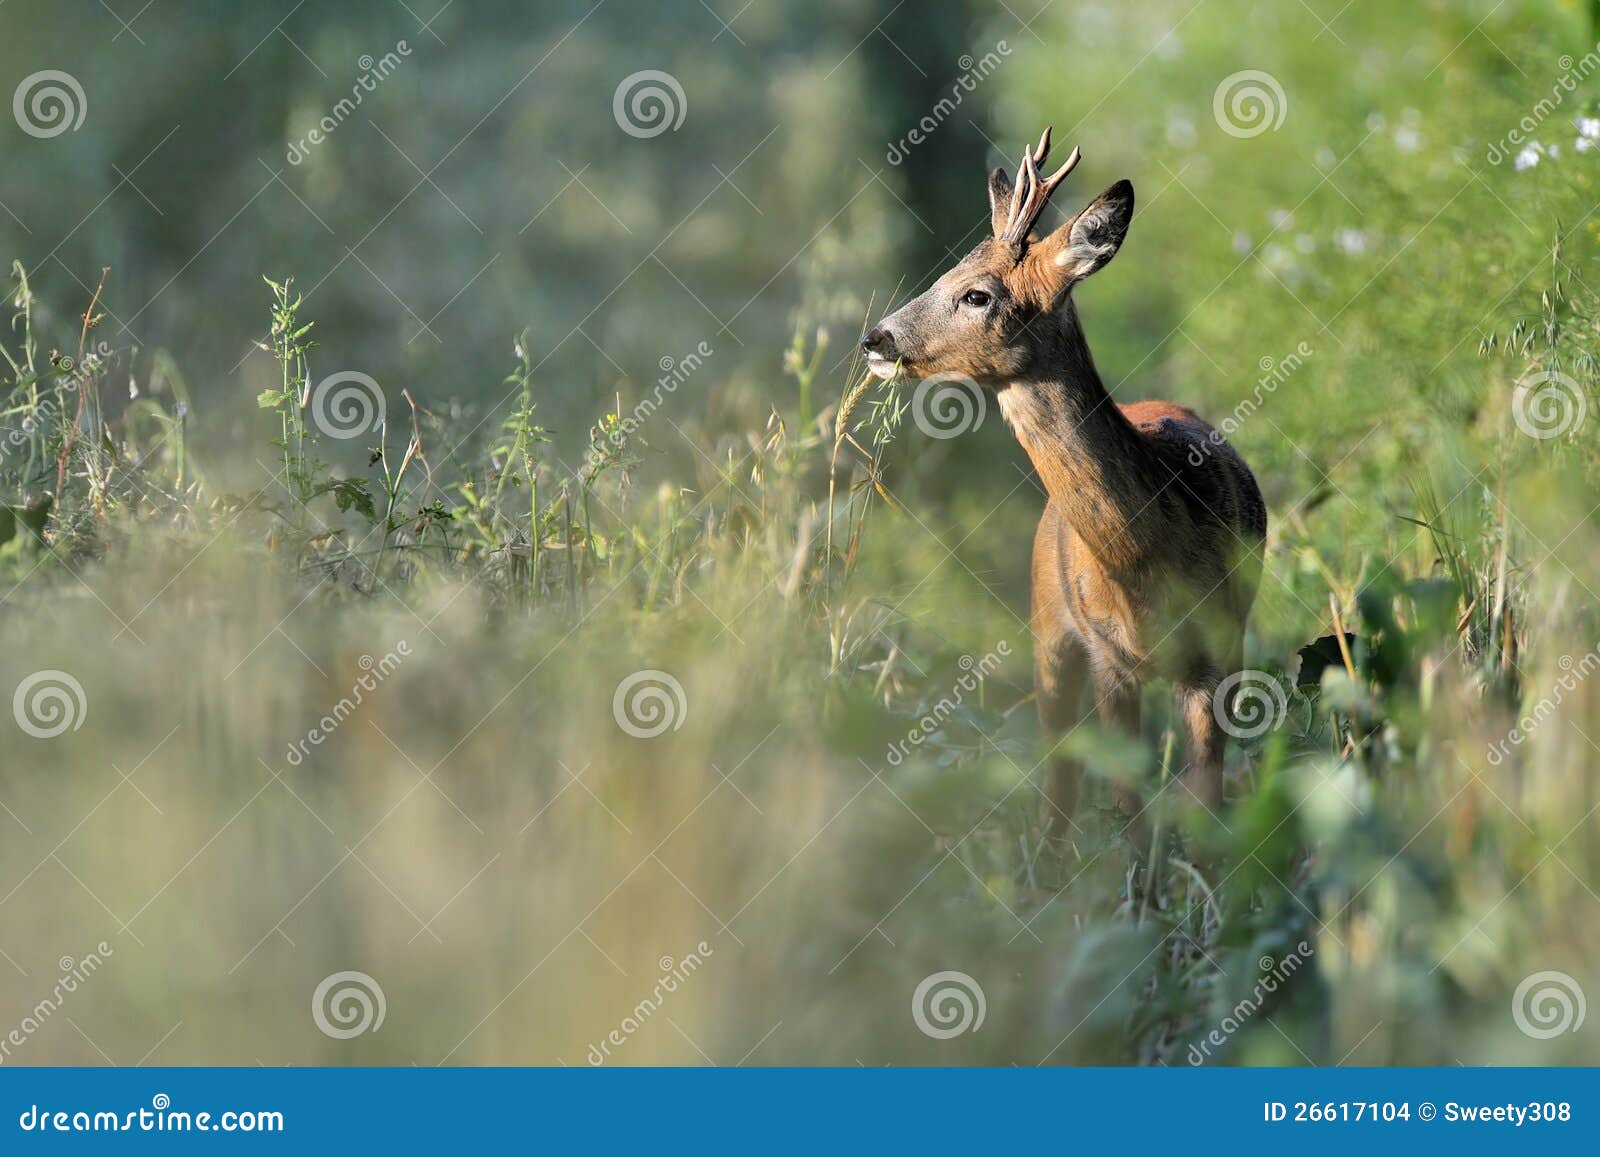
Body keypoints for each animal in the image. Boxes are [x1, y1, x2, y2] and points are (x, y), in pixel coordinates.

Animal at [861, 128, 1266, 843]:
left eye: (976, 294)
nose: (873, 338)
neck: (1151, 561)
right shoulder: (1106, 654)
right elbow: (1129, 806)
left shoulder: (1221, 650)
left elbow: (1205, 807)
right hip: (1047, 626)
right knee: (1059, 775)